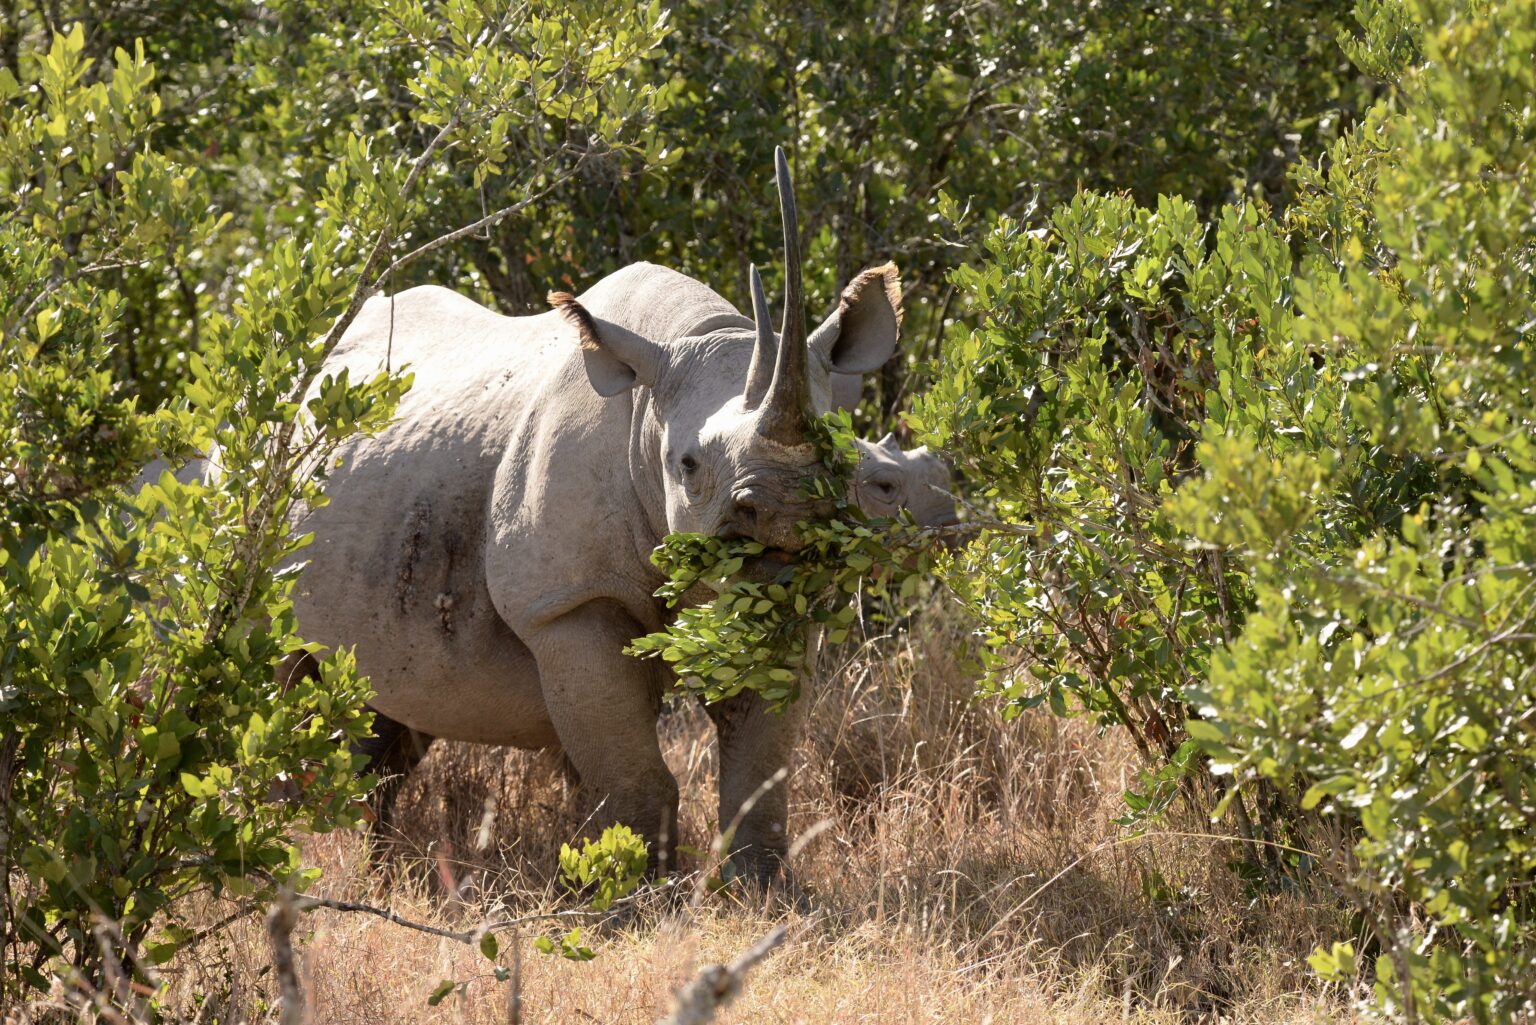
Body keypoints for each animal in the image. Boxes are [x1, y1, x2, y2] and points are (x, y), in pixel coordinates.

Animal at [285, 150, 902, 880]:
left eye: (841, 454)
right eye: (688, 466)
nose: (788, 511)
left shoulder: (787, 603)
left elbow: (760, 765)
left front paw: (760, 888)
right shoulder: (566, 603)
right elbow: (632, 773)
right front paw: (642, 892)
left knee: (387, 712)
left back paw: (381, 870)